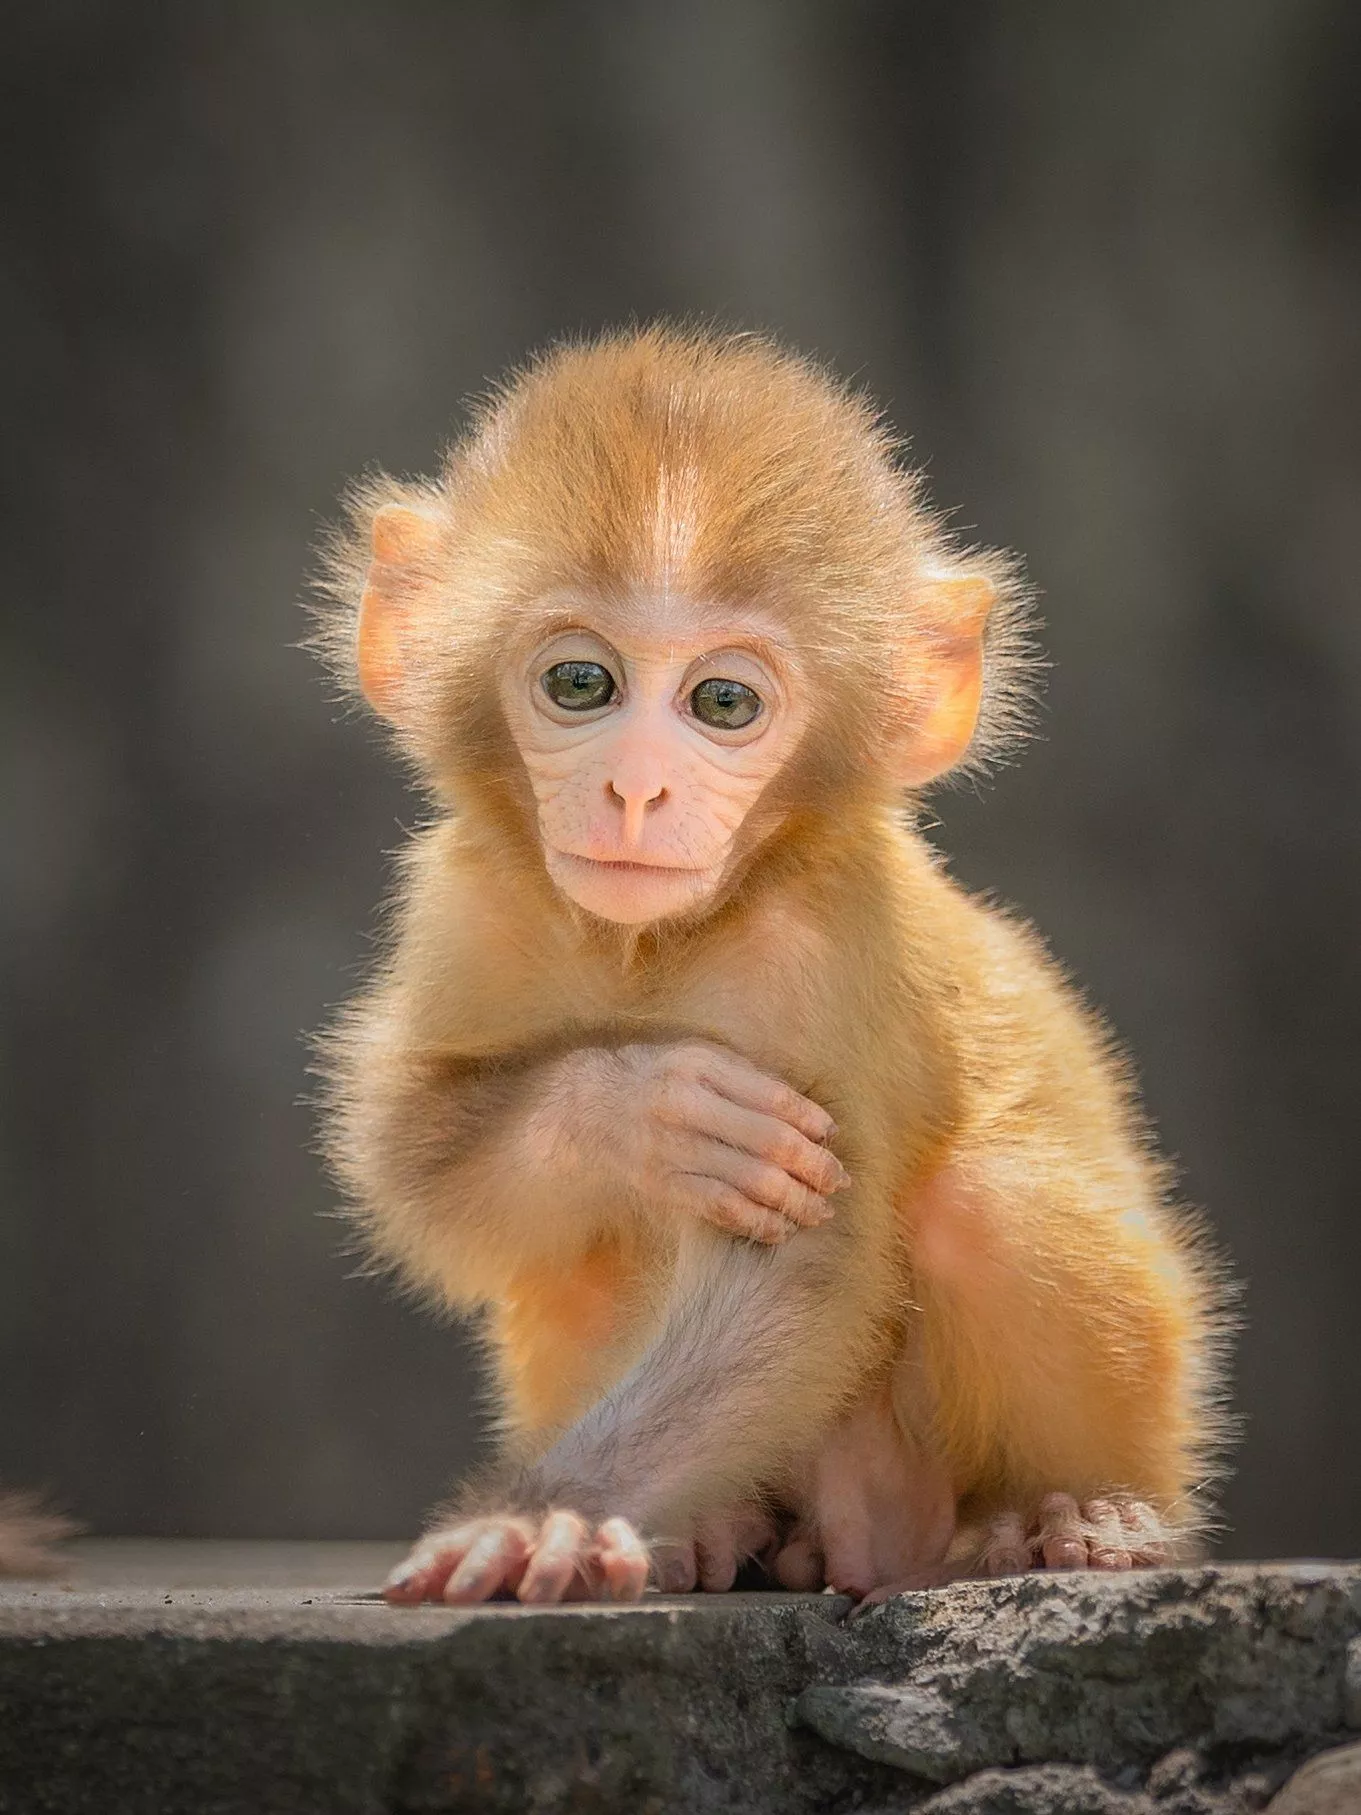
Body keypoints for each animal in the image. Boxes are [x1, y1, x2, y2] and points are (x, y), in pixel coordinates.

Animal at [310, 324, 1231, 1608]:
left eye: (722, 702)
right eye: (581, 684)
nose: (635, 789)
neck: (658, 940)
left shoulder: (817, 947)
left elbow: (797, 1266)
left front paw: (546, 1517)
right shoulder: (469, 898)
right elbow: (408, 1153)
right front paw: (644, 1111)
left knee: (985, 1204)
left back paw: (1064, 1511)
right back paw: (713, 1533)